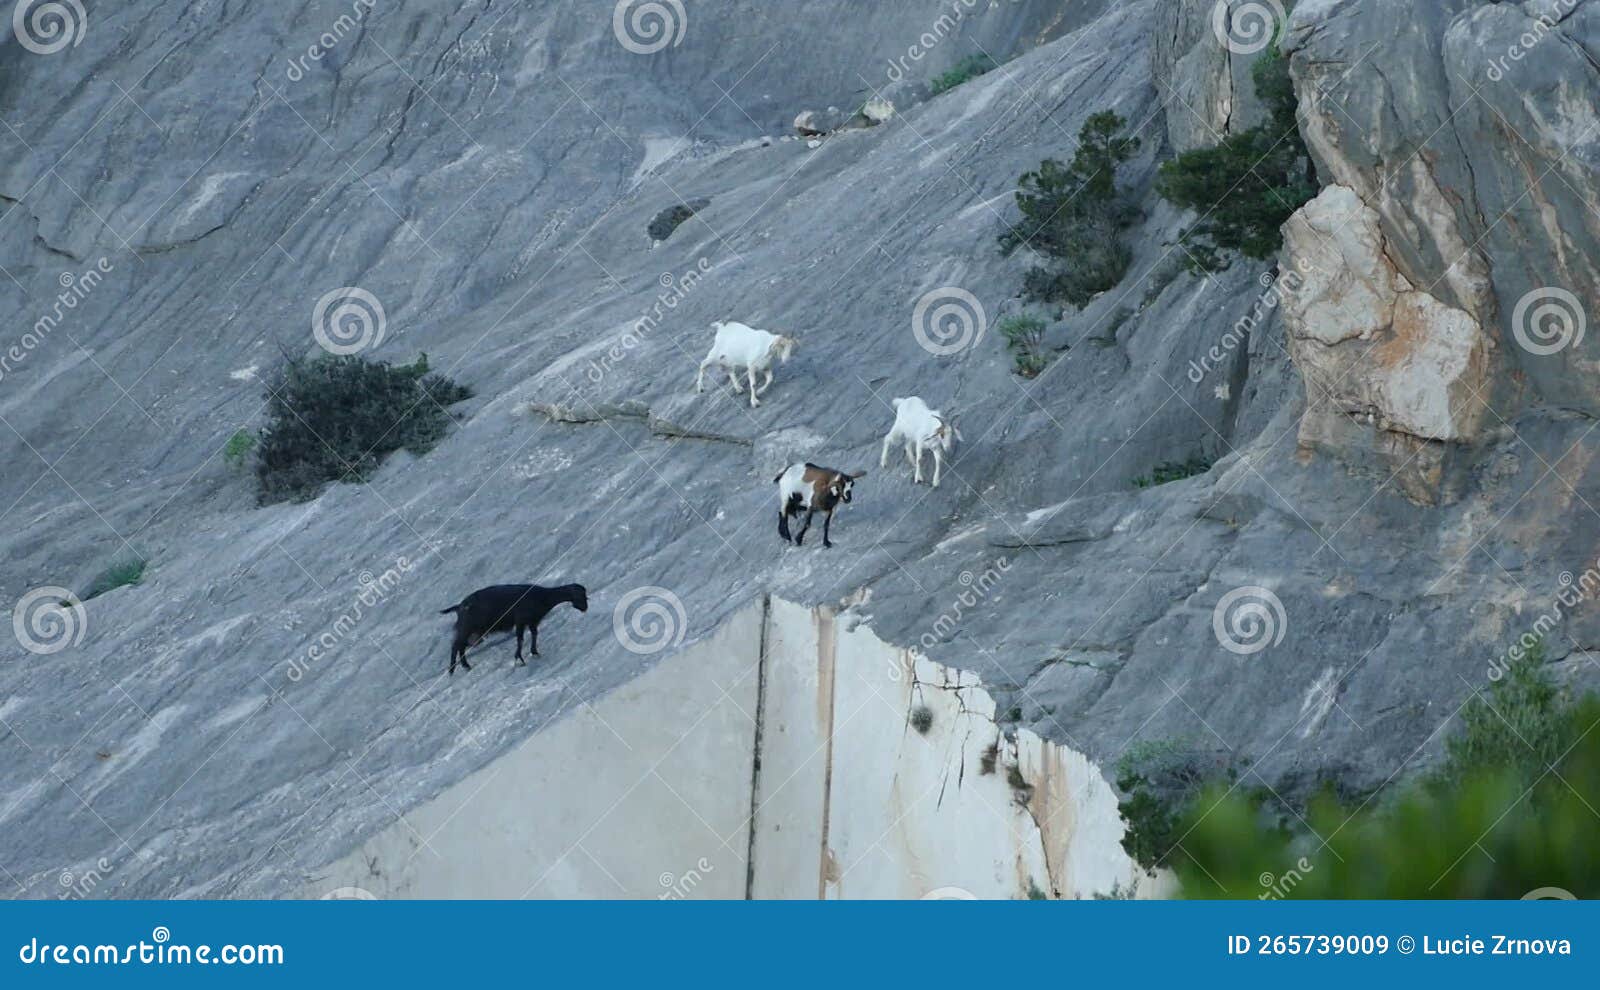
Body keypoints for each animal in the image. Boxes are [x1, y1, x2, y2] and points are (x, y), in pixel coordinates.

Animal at [439, 583, 589, 675]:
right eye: (581, 595)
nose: (584, 608)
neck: (544, 597)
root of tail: (459, 607)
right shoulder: (520, 621)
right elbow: (520, 639)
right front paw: (519, 659)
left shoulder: (532, 622)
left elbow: (534, 634)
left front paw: (534, 652)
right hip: (468, 628)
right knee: (456, 645)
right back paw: (454, 669)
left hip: (474, 631)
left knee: (460, 646)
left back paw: (465, 666)